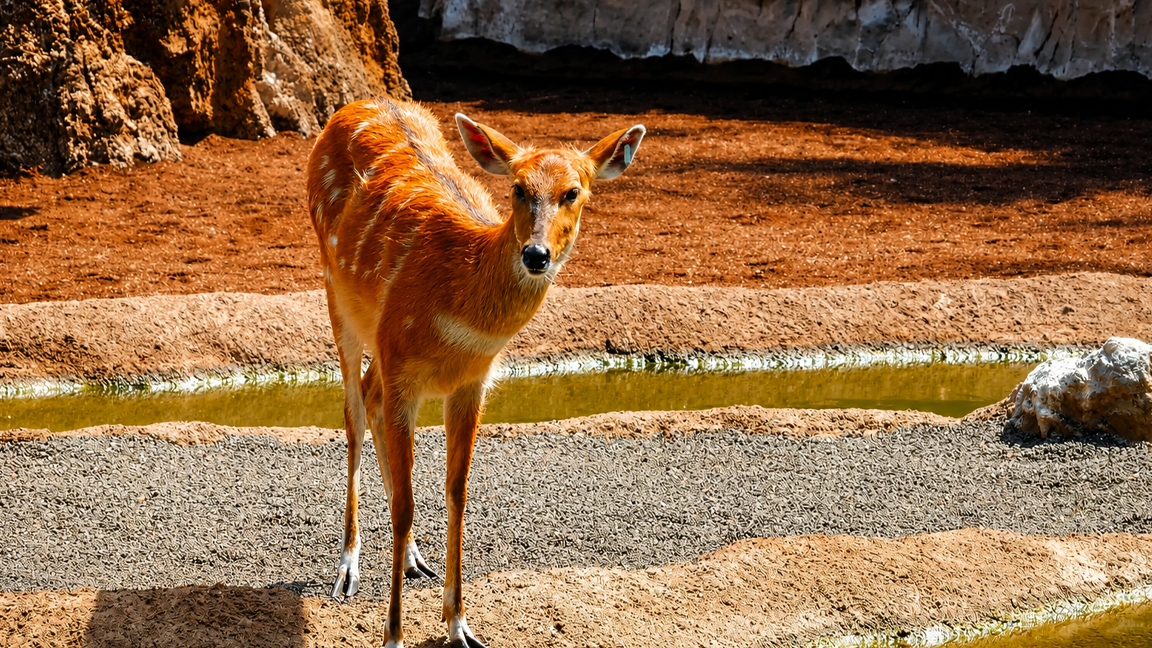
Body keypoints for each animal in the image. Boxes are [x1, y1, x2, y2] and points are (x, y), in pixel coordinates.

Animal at [306, 97, 644, 648]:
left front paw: (460, 625)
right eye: (518, 188)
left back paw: (415, 559)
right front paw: (393, 636)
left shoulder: (471, 382)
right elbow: (406, 505)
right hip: (338, 291)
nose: (536, 254)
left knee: (368, 396)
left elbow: (457, 494)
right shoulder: (403, 369)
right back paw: (348, 568)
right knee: (353, 412)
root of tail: (358, 103)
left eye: (573, 192)